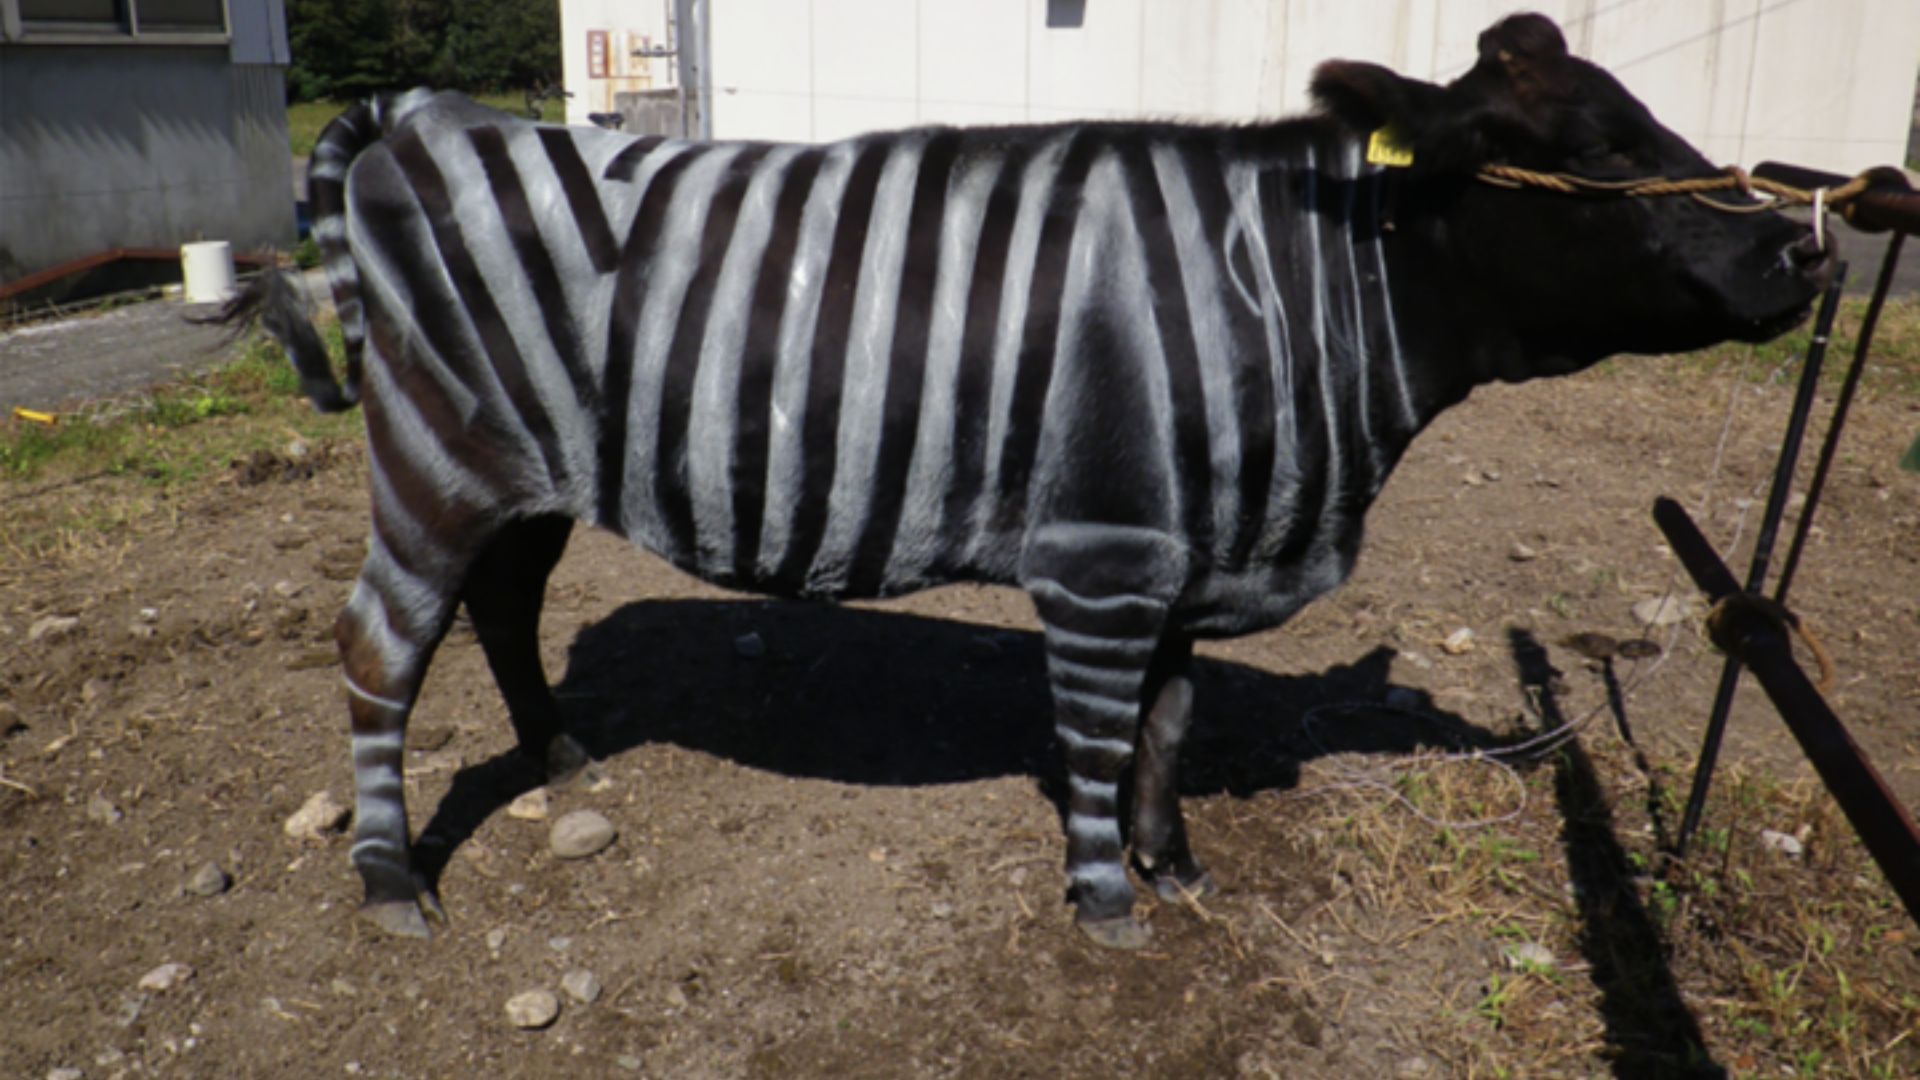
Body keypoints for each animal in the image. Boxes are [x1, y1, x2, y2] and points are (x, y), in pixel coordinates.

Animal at [230, 14, 1827, 949]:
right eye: (1588, 152)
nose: (1802, 249)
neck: (1287, 300)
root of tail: (433, 116)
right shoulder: (1107, 558)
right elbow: (1106, 736)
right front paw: (1109, 900)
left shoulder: (1190, 550)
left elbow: (1172, 725)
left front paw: (1178, 868)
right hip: (434, 462)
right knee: (381, 647)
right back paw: (390, 883)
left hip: (529, 474)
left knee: (501, 608)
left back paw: (562, 757)